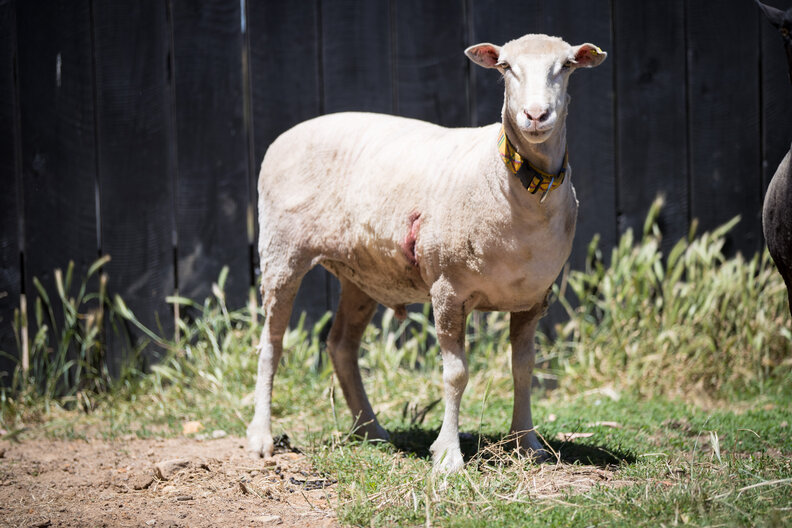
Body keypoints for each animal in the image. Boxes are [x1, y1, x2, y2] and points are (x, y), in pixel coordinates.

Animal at [246, 33, 607, 473]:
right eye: (505, 67)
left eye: (567, 66)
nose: (536, 115)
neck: (515, 186)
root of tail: (287, 134)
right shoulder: (448, 290)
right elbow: (456, 374)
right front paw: (448, 455)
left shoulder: (532, 299)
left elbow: (523, 370)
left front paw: (528, 444)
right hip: (282, 251)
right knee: (271, 346)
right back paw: (262, 437)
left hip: (361, 272)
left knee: (341, 345)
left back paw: (370, 429)